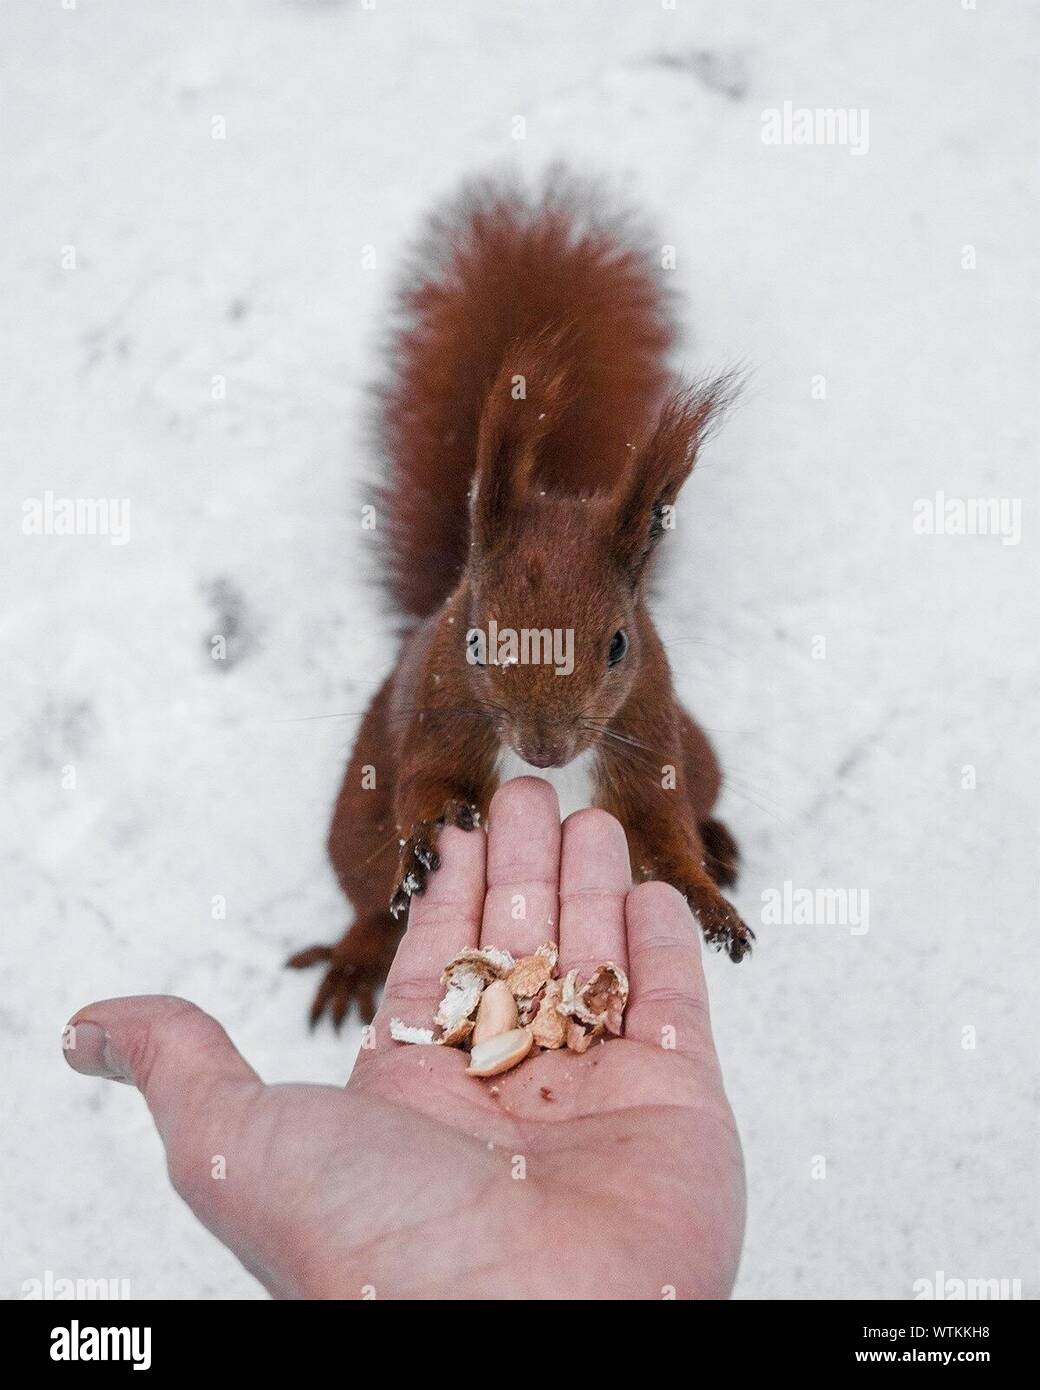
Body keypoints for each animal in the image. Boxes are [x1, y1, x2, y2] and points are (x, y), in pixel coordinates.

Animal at [289, 173, 754, 1027]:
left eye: (619, 644)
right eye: (475, 640)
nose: (542, 751)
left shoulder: (649, 743)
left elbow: (665, 839)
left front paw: (711, 903)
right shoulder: (439, 717)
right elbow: (423, 788)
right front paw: (429, 834)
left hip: (699, 753)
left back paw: (724, 843)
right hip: (351, 825)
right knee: (366, 893)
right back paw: (356, 954)